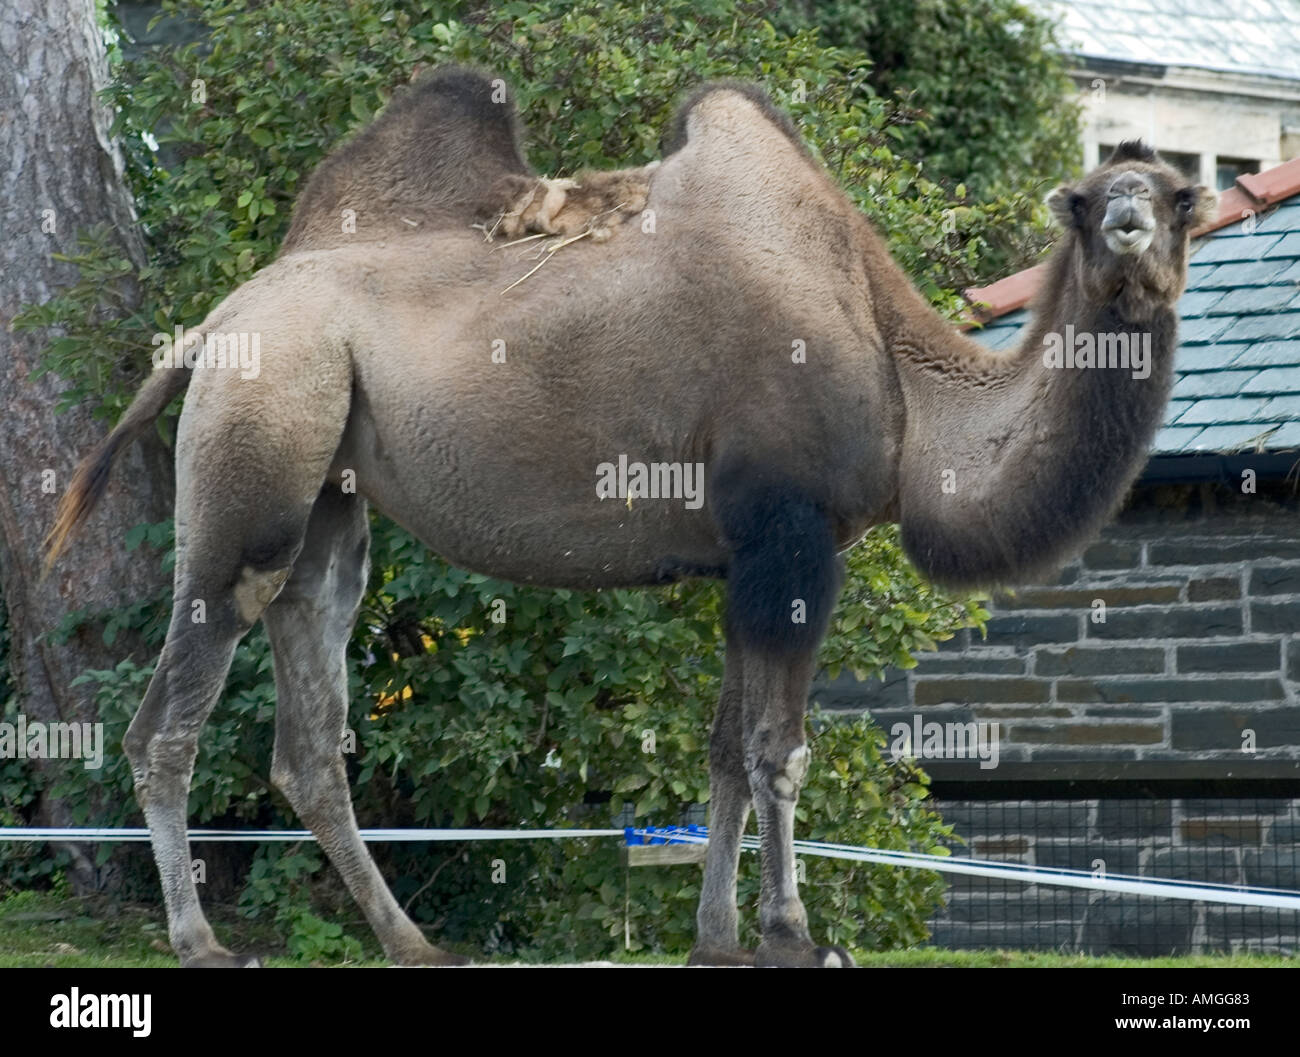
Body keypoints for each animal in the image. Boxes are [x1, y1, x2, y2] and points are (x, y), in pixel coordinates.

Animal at [46, 67, 1215, 967]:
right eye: (1091, 198)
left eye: (1176, 196)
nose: (1127, 225)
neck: (903, 373)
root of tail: (215, 321)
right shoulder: (789, 528)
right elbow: (778, 748)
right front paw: (795, 936)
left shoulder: (745, 550)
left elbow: (722, 751)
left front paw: (718, 939)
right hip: (259, 430)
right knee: (173, 704)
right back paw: (200, 941)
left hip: (330, 488)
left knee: (309, 718)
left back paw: (412, 942)